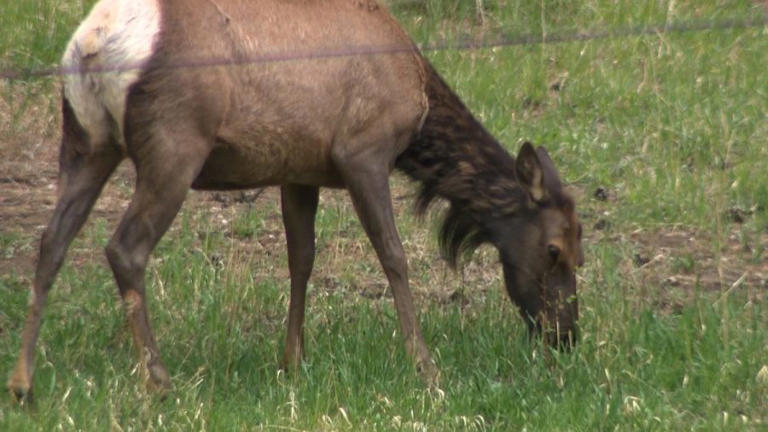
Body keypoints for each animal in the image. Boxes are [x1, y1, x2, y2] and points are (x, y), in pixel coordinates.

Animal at [8, 0, 583, 402]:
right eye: (556, 249)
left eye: (581, 252)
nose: (566, 335)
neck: (418, 108)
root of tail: (93, 42)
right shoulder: (362, 151)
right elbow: (393, 257)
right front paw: (424, 366)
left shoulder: (298, 171)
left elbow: (301, 260)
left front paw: (292, 363)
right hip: (175, 144)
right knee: (124, 248)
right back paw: (159, 380)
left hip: (86, 140)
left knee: (51, 241)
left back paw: (22, 383)